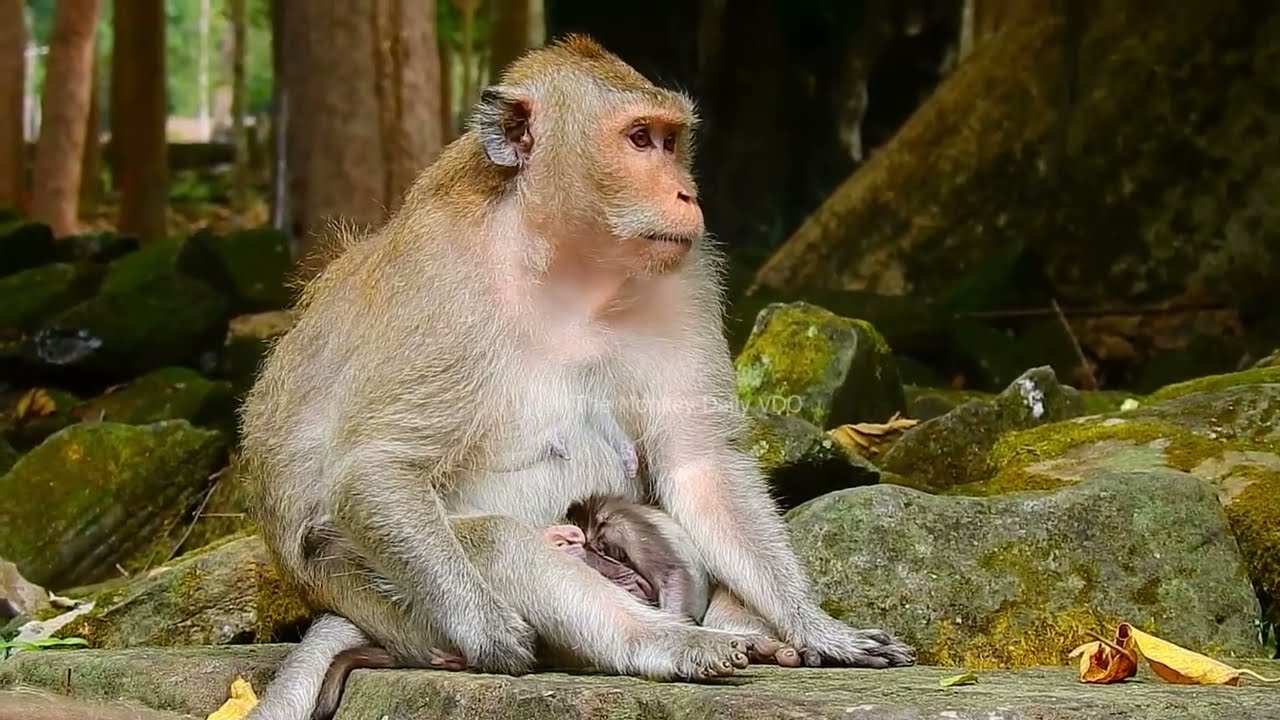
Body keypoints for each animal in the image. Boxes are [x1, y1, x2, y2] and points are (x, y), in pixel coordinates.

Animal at [239, 34, 913, 720]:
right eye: (639, 139)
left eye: (670, 140)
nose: (686, 194)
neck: (563, 266)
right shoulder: (440, 285)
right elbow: (375, 469)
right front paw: (486, 628)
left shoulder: (685, 281)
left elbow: (699, 464)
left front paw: (816, 627)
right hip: (388, 599)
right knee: (495, 541)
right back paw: (665, 642)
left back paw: (754, 634)